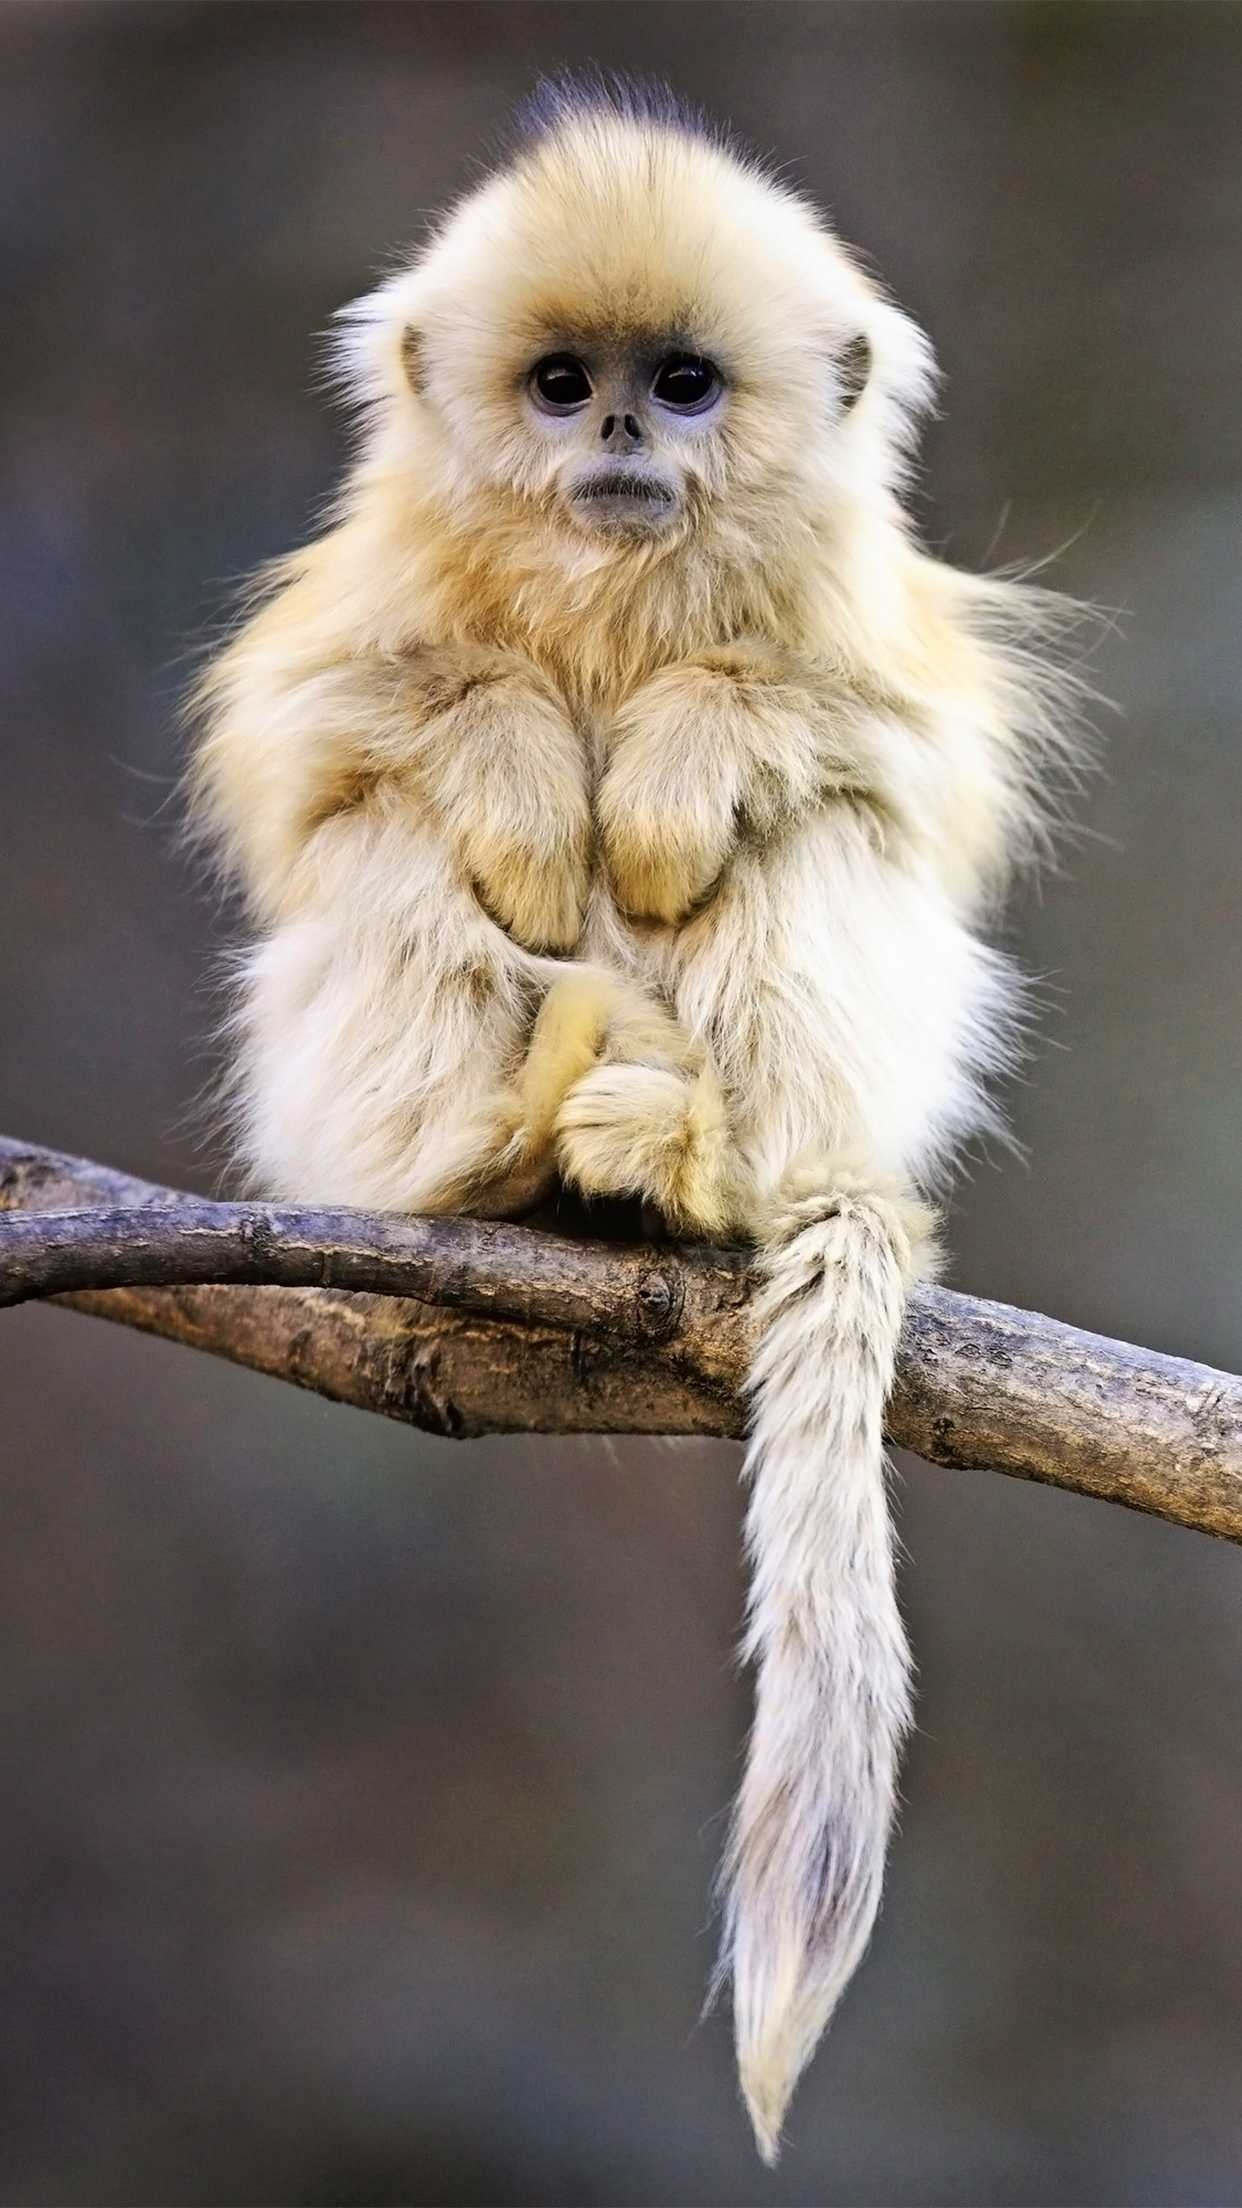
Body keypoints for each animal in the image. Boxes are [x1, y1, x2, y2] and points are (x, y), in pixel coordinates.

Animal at [190, 77, 1086, 2161]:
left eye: (681, 383)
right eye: (558, 383)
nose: (613, 435)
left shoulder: (869, 632)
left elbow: (887, 758)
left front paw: (672, 768)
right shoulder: (356, 607)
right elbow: (315, 745)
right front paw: (529, 783)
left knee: (822, 833)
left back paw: (689, 1163)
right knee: (382, 835)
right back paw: (499, 1149)